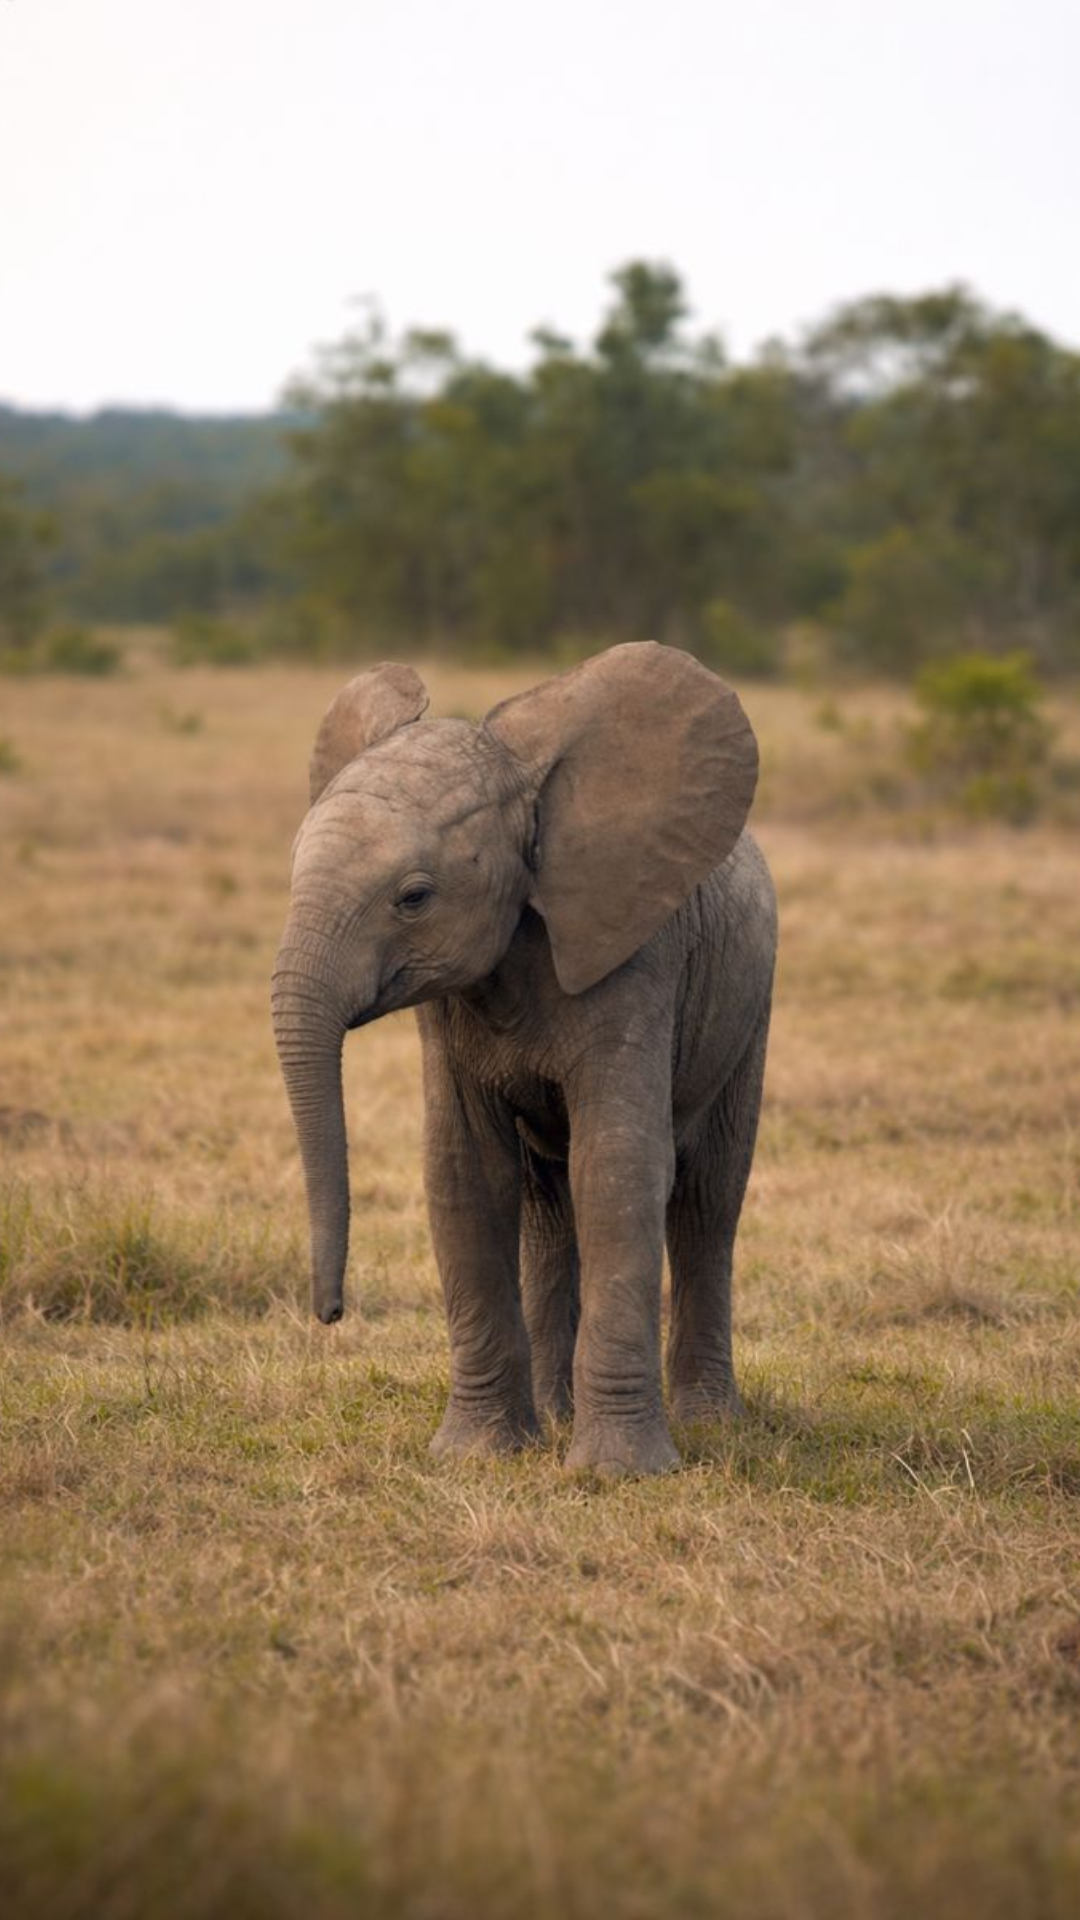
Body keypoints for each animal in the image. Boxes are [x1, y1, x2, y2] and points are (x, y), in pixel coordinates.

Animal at [271, 641, 777, 1476]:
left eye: (415, 897)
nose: (331, 1313)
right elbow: (465, 1174)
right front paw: (476, 1457)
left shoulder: (637, 961)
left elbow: (618, 1171)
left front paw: (618, 1474)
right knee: (547, 1206)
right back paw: (553, 1415)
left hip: (750, 1006)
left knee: (708, 1197)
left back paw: (710, 1424)